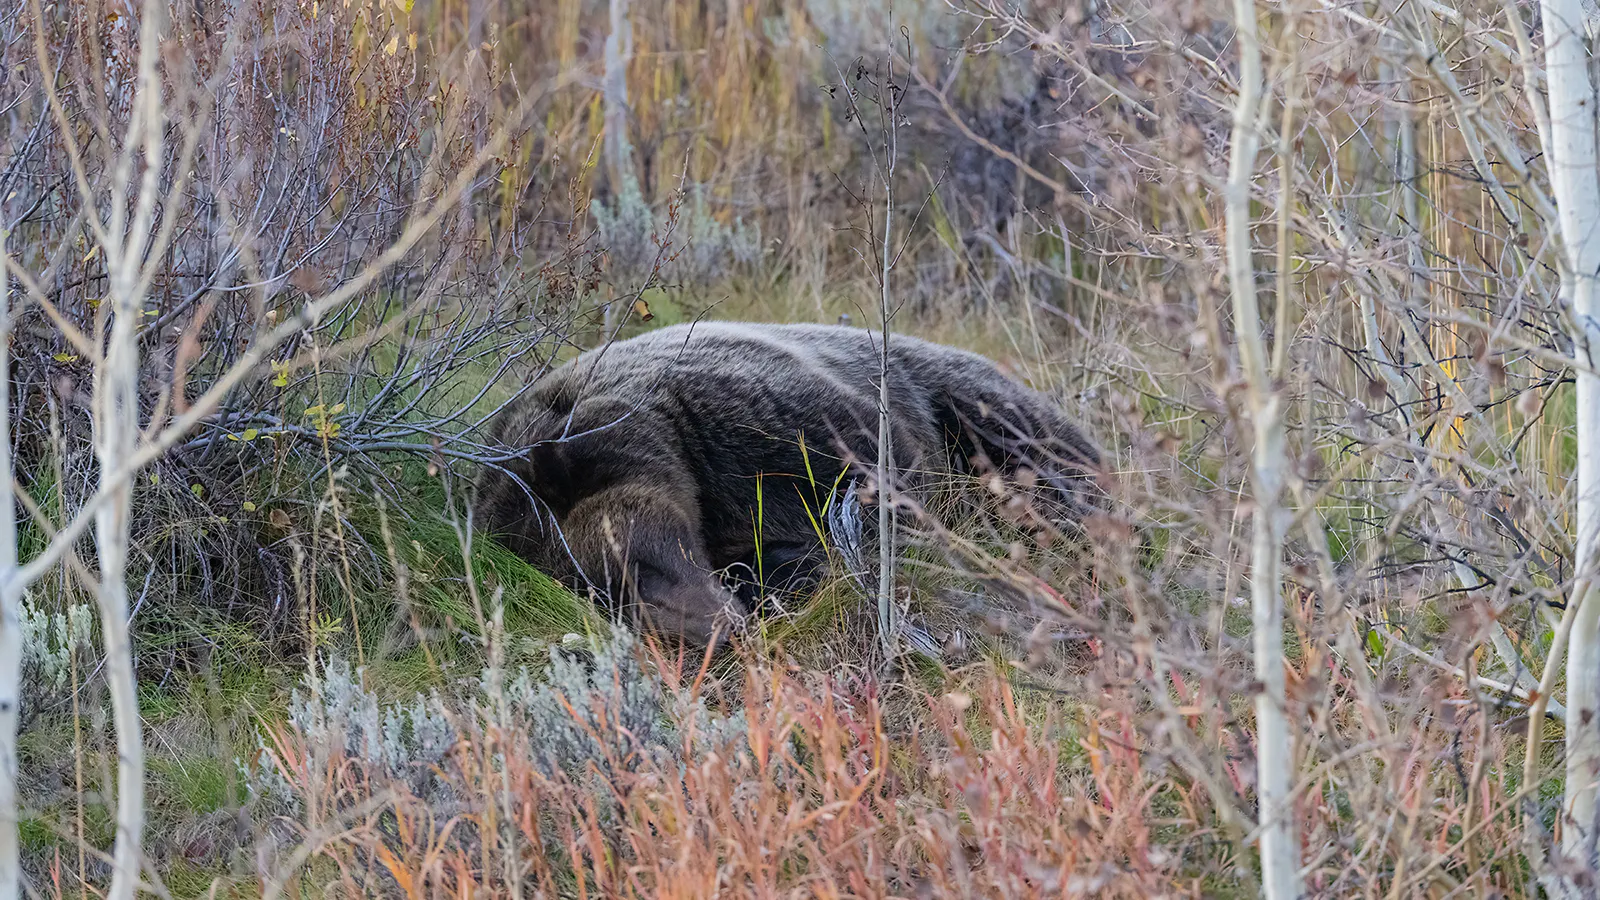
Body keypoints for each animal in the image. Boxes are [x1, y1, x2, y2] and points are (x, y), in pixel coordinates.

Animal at [473, 322, 1101, 646]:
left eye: (634, 567)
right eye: (599, 599)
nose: (720, 630)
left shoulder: (760, 424)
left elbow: (886, 496)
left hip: (967, 402)